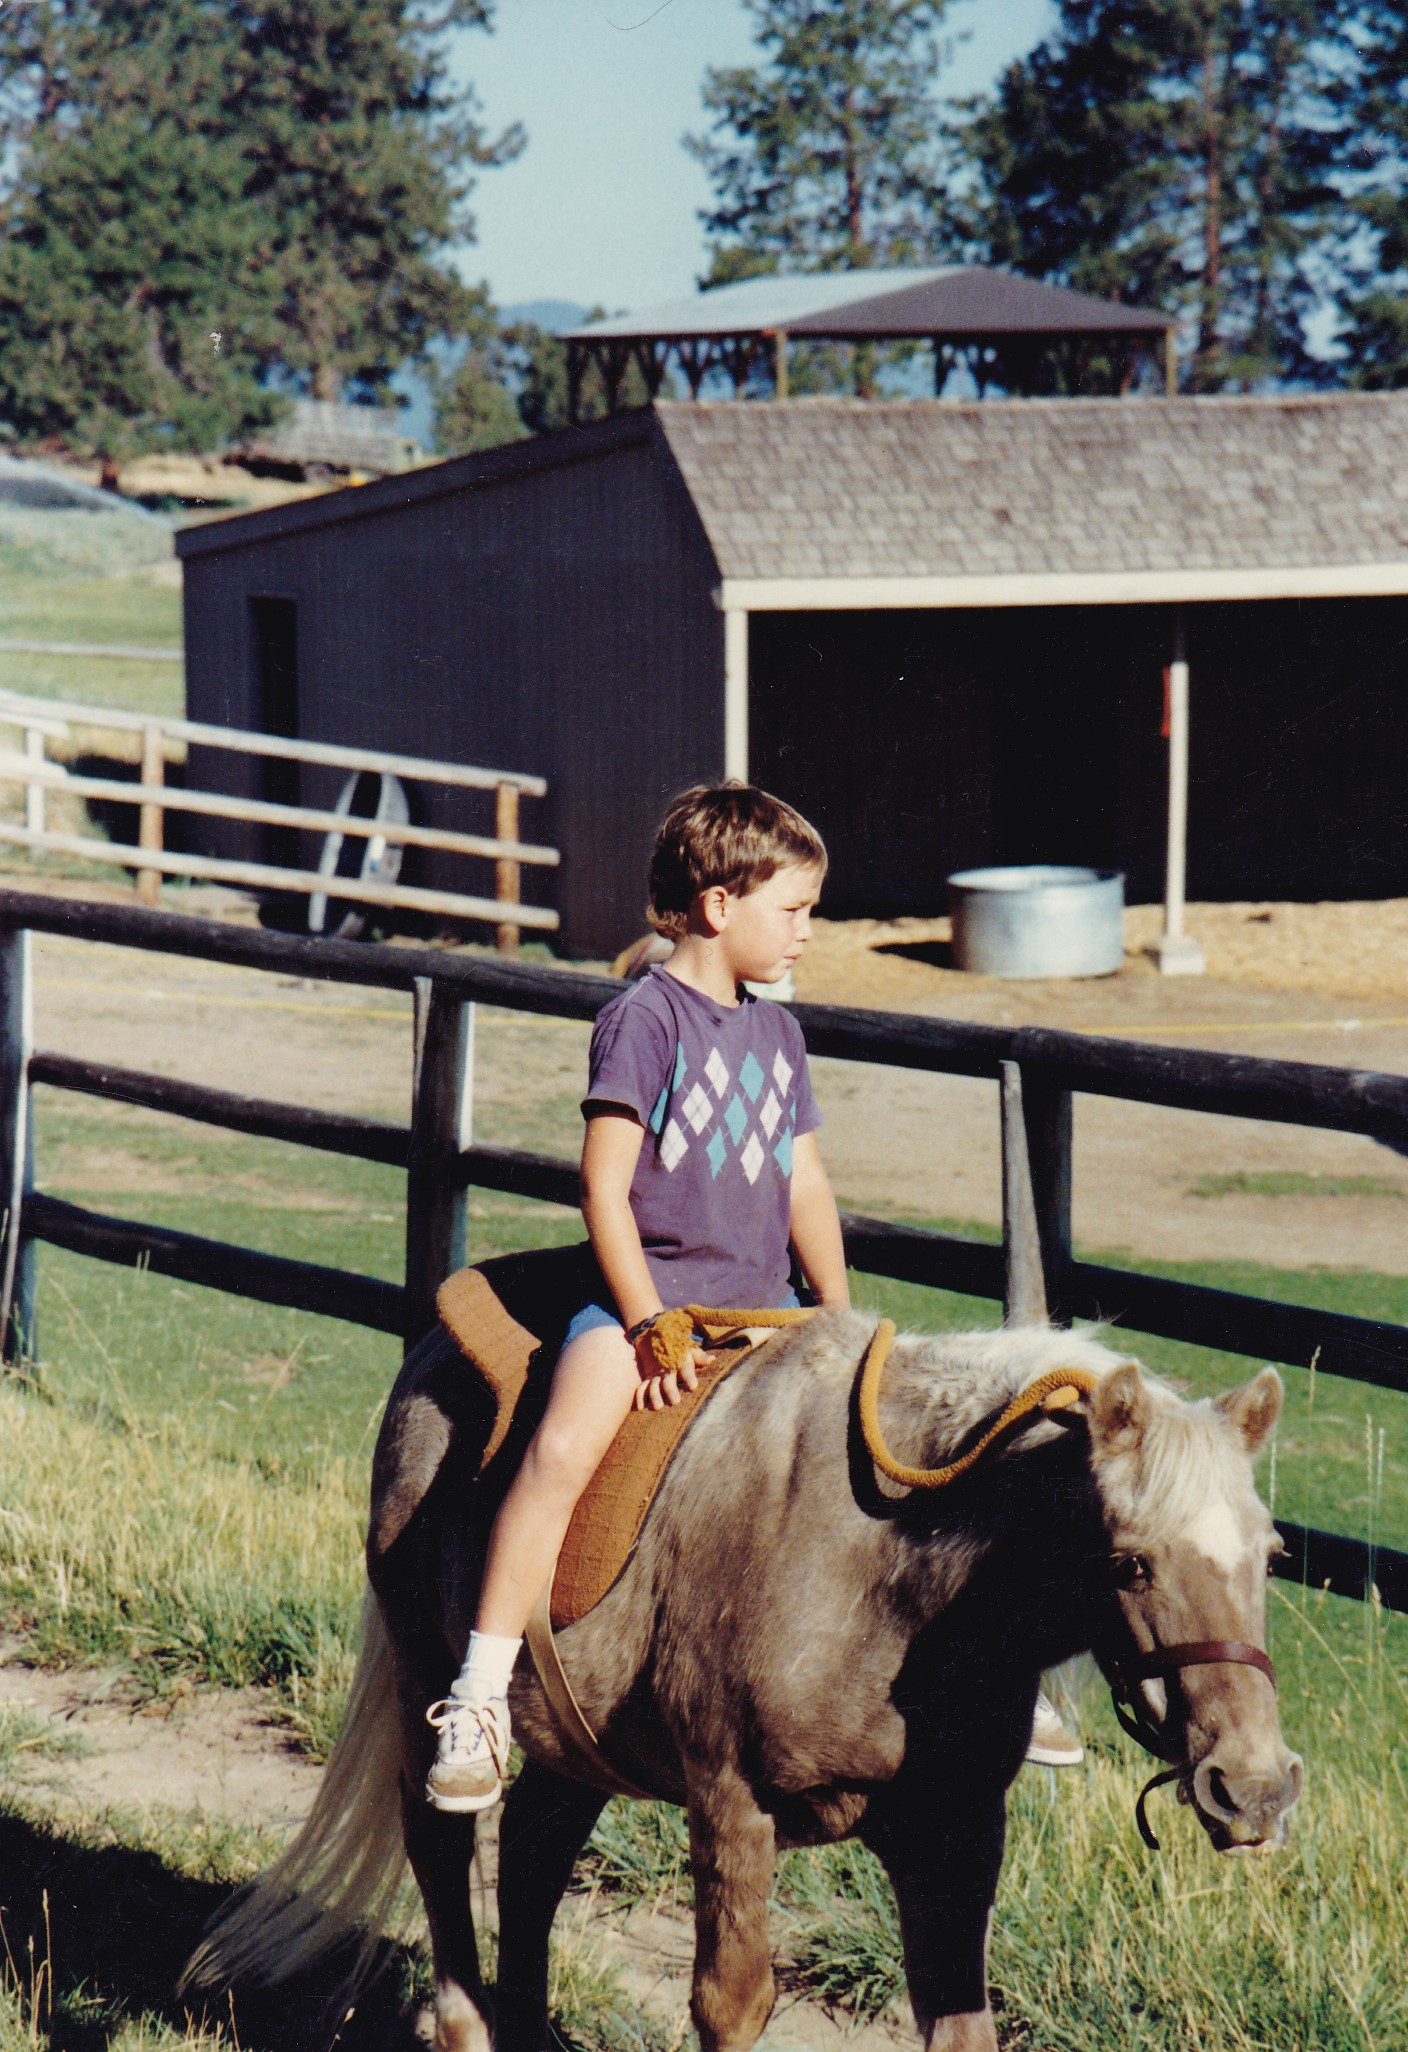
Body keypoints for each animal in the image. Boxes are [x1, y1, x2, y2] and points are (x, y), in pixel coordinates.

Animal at [188, 1296, 1302, 2052]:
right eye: (1130, 1562)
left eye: (1269, 1553)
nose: (1252, 1786)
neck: (888, 1577)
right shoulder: (731, 1804)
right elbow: (730, 2002)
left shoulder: (955, 1833)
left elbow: (959, 2019)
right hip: (434, 1689)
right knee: (444, 1856)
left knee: (536, 1861)